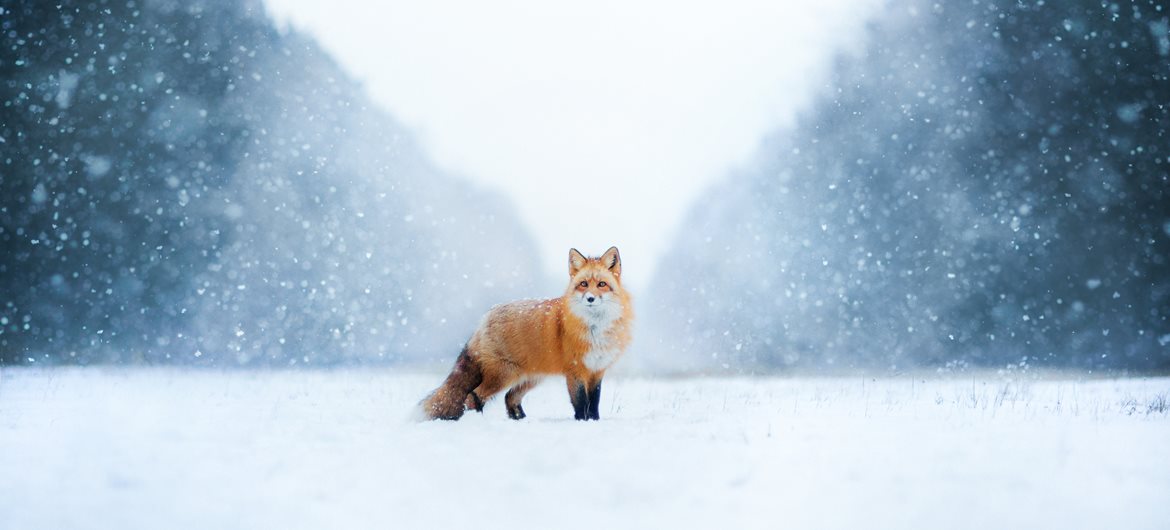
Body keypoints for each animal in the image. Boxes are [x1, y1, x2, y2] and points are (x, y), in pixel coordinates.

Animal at [418, 246, 633, 421]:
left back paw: (520, 420)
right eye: (583, 284)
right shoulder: (575, 371)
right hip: (505, 375)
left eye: (602, 284)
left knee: (509, 397)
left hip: (531, 377)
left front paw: (594, 421)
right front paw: (582, 422)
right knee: (473, 396)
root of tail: (485, 317)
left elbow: (594, 403)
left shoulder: (597, 371)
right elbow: (581, 403)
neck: (595, 329)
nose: (590, 299)